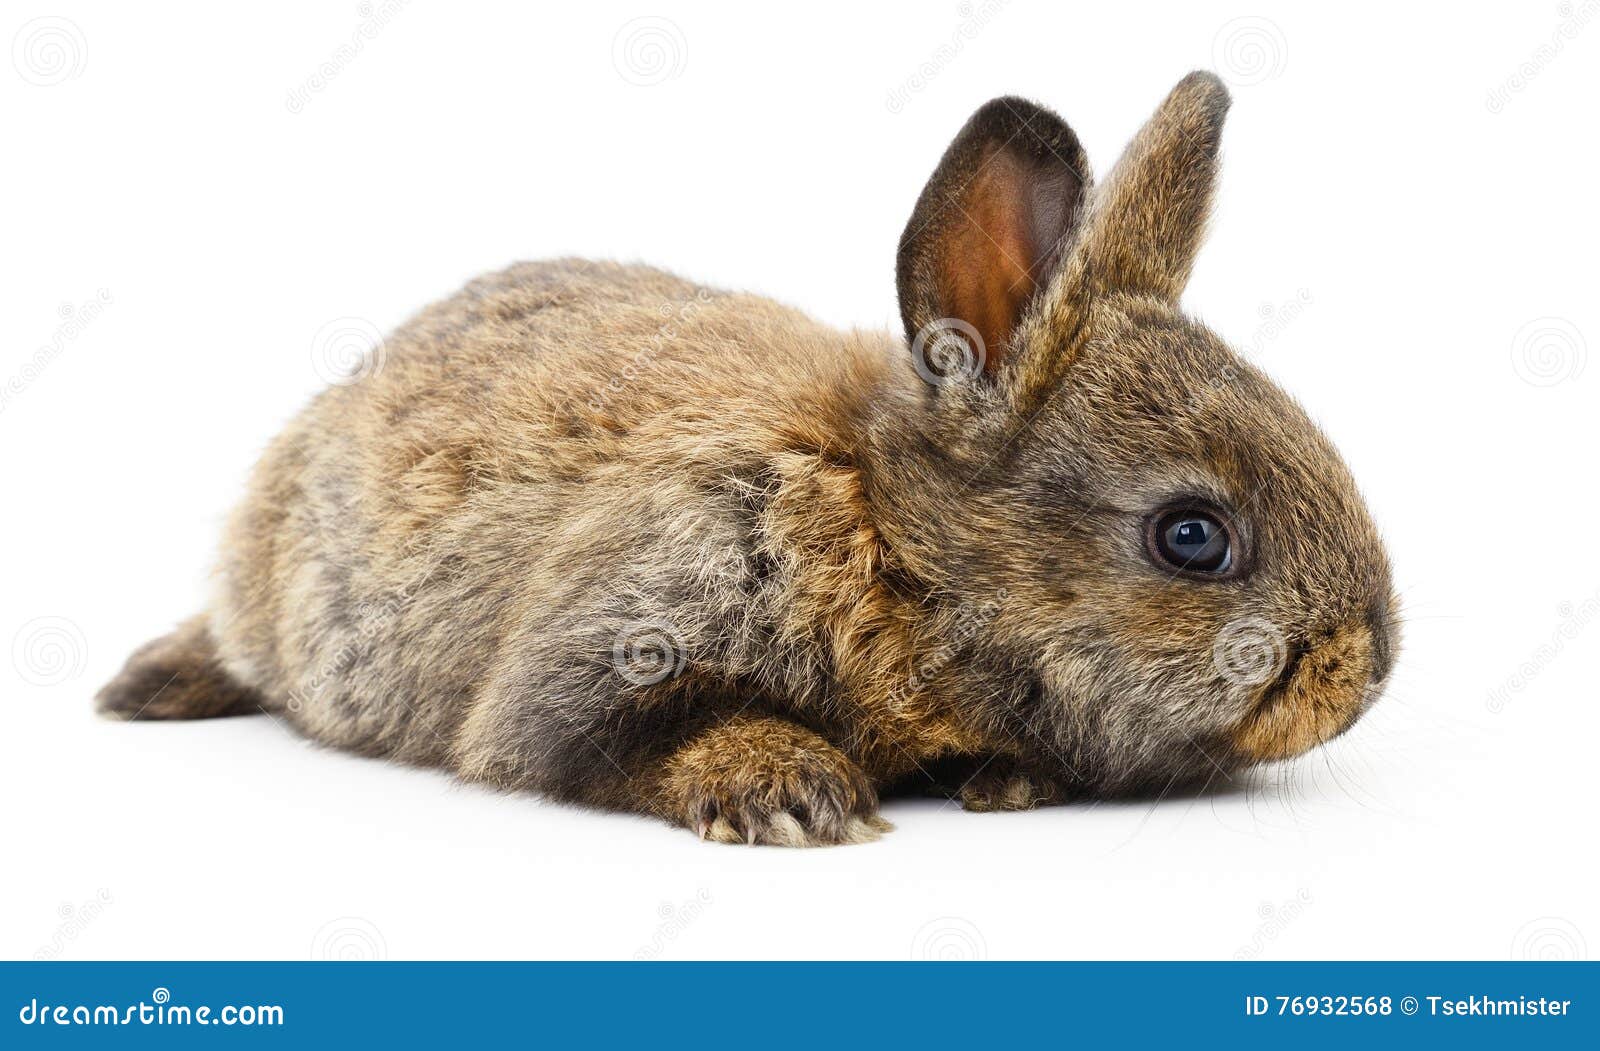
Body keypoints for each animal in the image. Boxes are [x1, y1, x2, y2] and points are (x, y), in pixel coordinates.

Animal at [97, 71, 1398, 846]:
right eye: (1191, 536)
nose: (1365, 671)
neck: (884, 538)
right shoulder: (617, 635)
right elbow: (633, 738)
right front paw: (791, 793)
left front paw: (1007, 782)